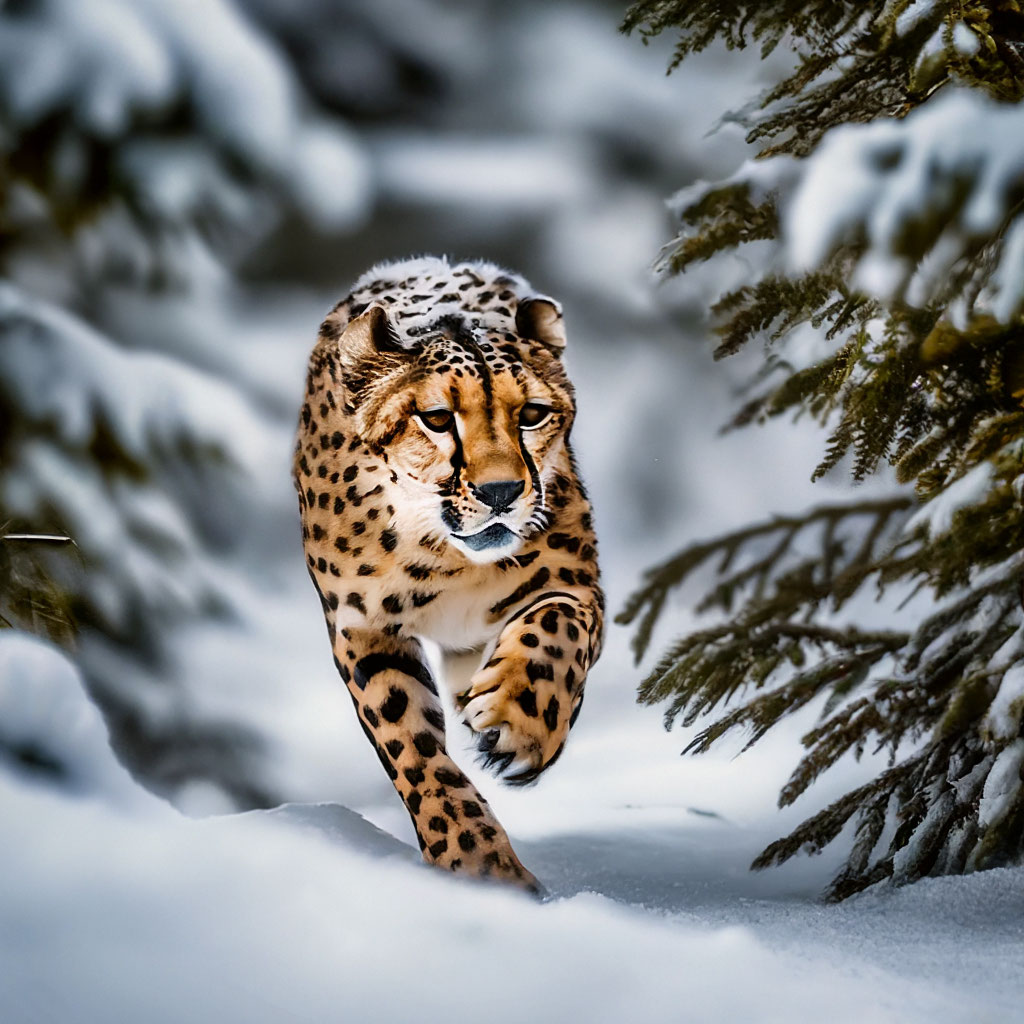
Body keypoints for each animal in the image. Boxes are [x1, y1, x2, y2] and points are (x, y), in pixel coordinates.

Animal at [294, 256, 603, 894]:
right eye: (436, 418)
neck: (442, 559)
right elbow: (409, 744)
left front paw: (519, 722)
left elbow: (557, 630)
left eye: (531, 414)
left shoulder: (577, 586)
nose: (500, 492)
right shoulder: (365, 627)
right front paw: (480, 867)